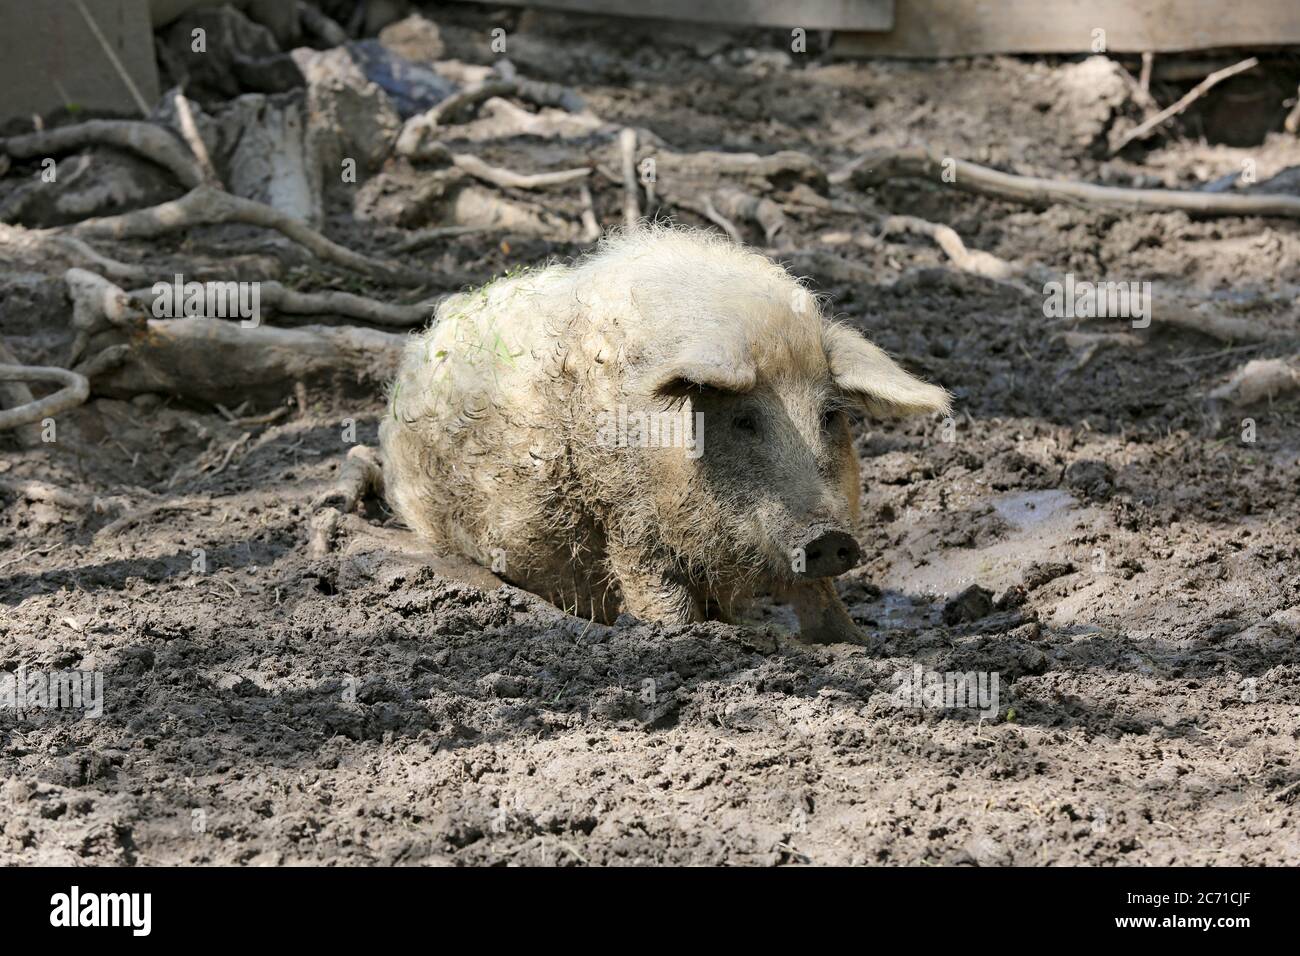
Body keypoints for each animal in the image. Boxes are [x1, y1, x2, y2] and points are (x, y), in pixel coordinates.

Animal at [379, 227, 949, 644]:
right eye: (744, 420)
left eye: (830, 415)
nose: (828, 538)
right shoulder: (625, 518)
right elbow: (660, 598)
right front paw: (684, 638)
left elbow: (821, 597)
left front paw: (856, 644)